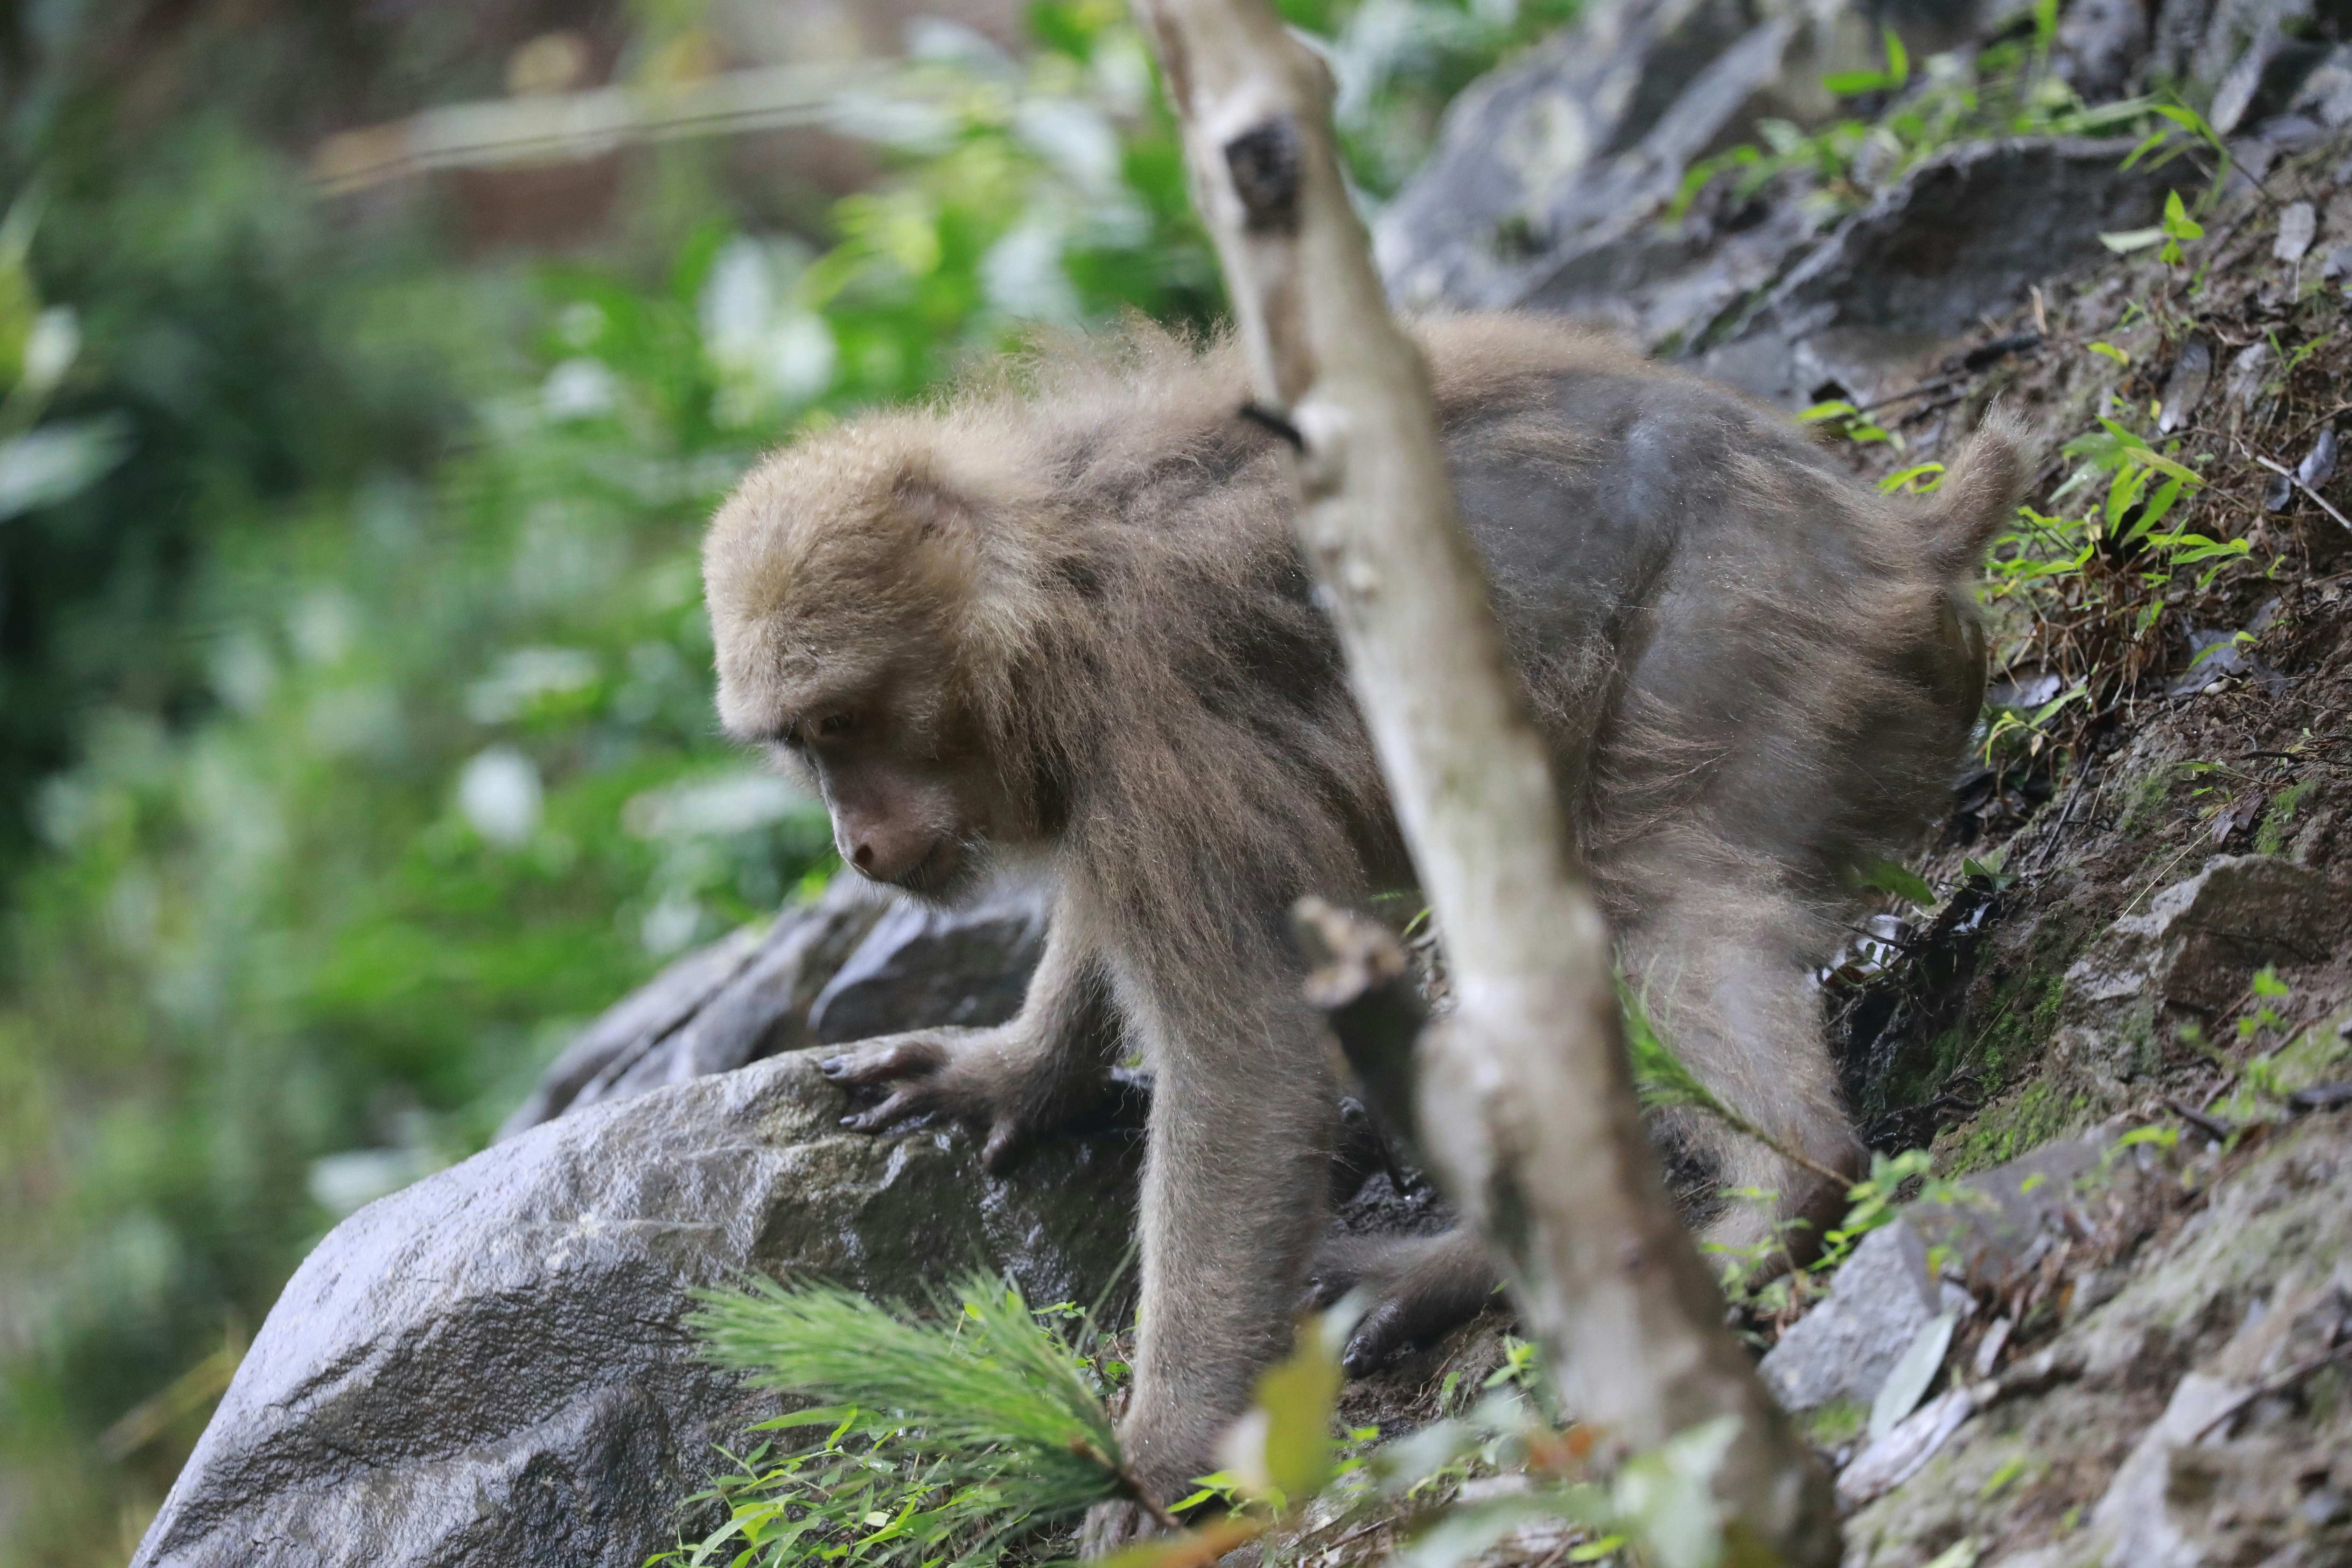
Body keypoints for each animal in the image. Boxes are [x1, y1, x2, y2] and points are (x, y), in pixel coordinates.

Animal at [701, 314, 2026, 1548]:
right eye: (803, 745)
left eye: (841, 721)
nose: (856, 846)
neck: (1039, 573)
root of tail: (1902, 537)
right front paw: (1021, 1069)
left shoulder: (1147, 721)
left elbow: (1250, 1060)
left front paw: (1158, 1456)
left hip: (1755, 634)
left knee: (1654, 901)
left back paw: (1783, 1193)